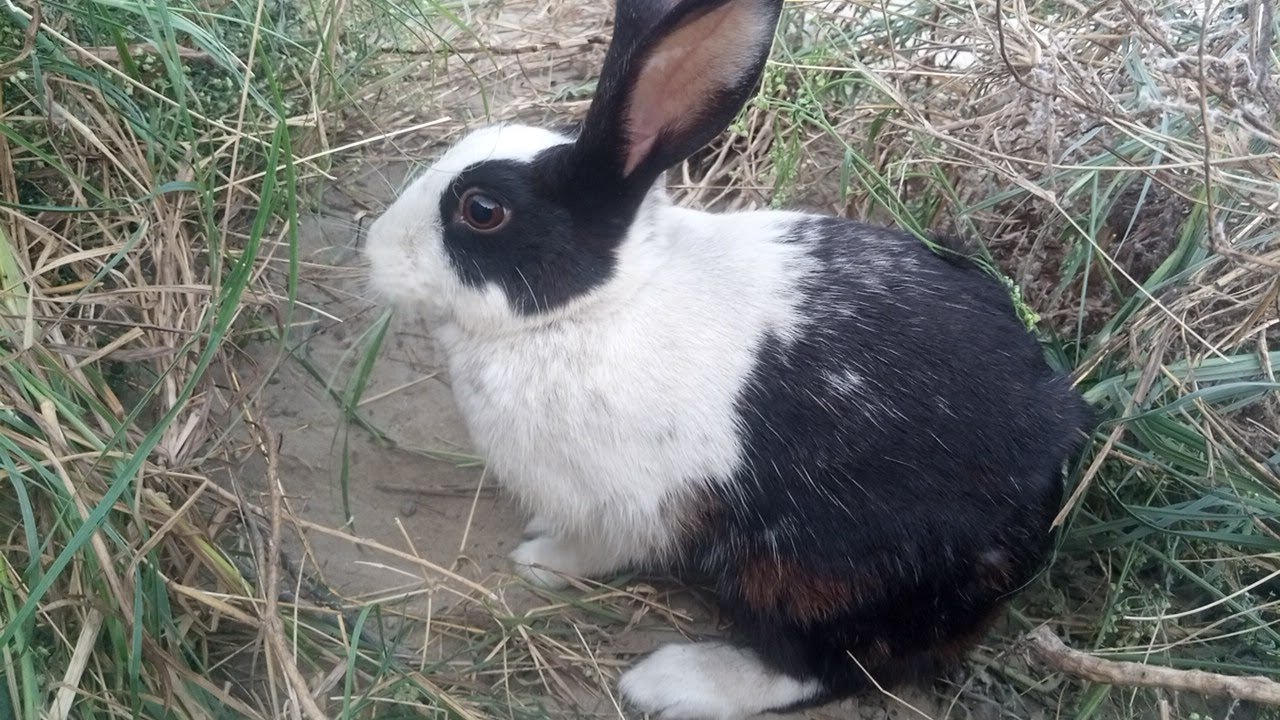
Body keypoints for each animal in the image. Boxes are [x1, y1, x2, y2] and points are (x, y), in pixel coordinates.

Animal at [362, 0, 1095, 717]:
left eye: (482, 210)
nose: (374, 251)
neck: (596, 304)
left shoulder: (623, 506)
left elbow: (590, 548)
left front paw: (539, 561)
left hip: (814, 573)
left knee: (832, 665)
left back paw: (673, 684)